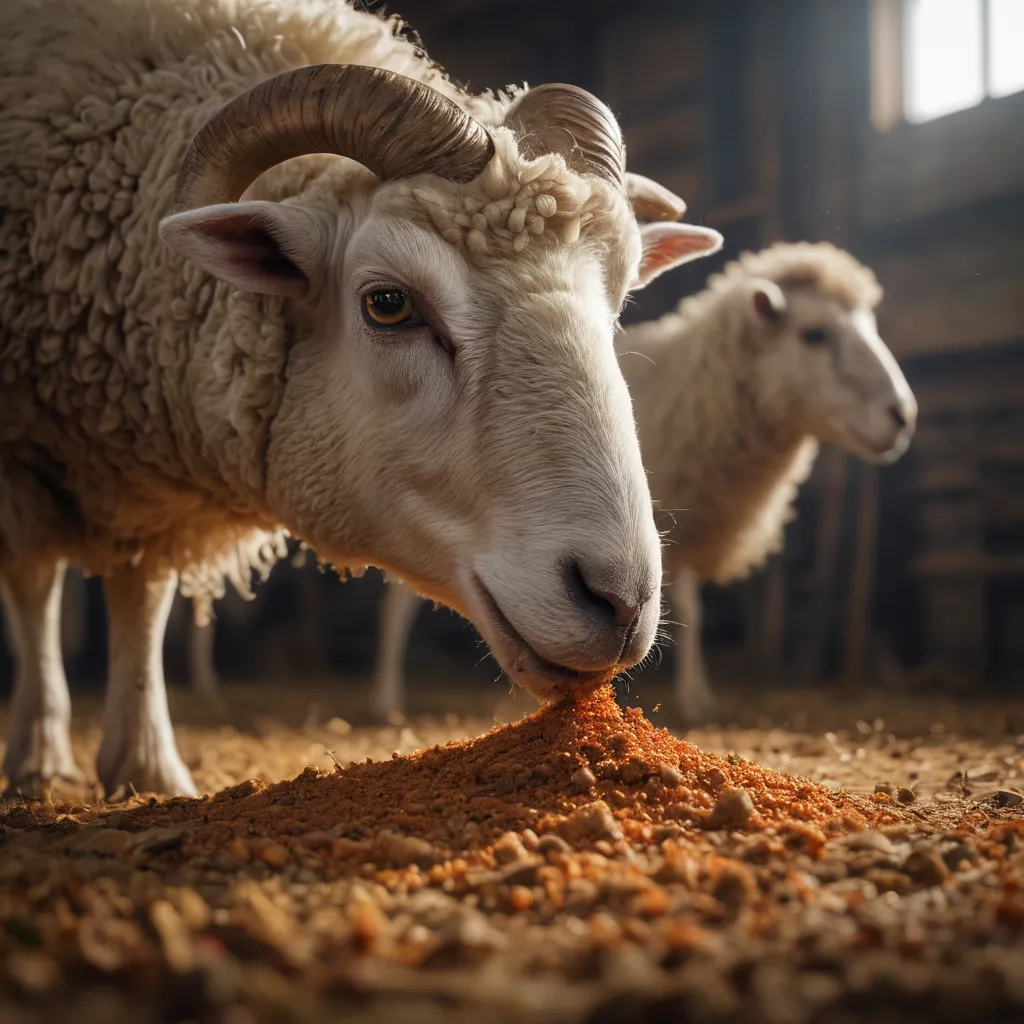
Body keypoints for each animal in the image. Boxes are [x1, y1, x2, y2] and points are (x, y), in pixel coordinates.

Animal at [0, 0, 723, 796]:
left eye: (621, 300)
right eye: (387, 304)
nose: (619, 600)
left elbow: (143, 595)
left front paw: (146, 767)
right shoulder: (22, 452)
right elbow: (33, 583)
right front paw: (40, 756)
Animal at [366, 243, 918, 724]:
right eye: (815, 334)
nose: (904, 415)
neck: (693, 391)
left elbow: (685, 609)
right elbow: (681, 606)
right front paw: (693, 700)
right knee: (398, 609)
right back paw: (388, 698)